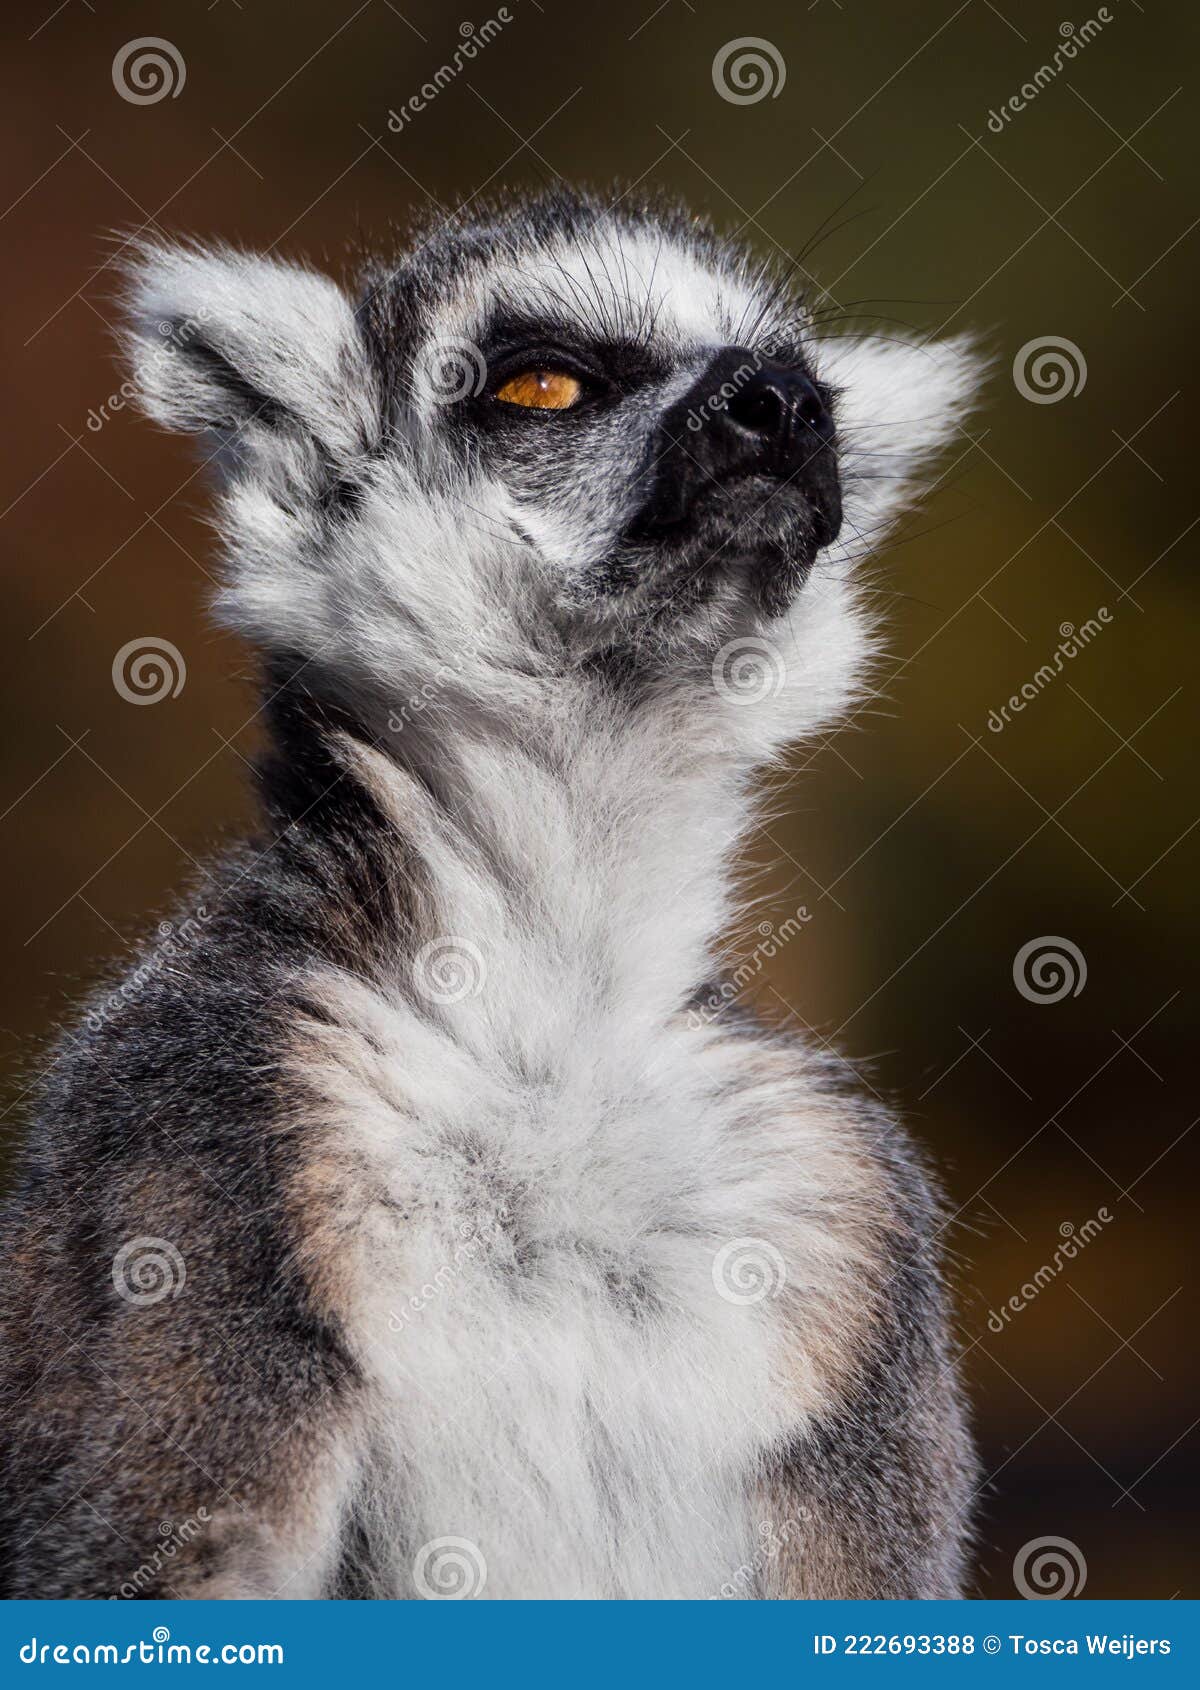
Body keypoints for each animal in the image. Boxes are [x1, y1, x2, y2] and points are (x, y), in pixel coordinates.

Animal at [0, 187, 983, 1600]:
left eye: (813, 391)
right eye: (544, 383)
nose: (783, 405)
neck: (557, 1003)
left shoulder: (849, 1216)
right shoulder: (187, 1139)